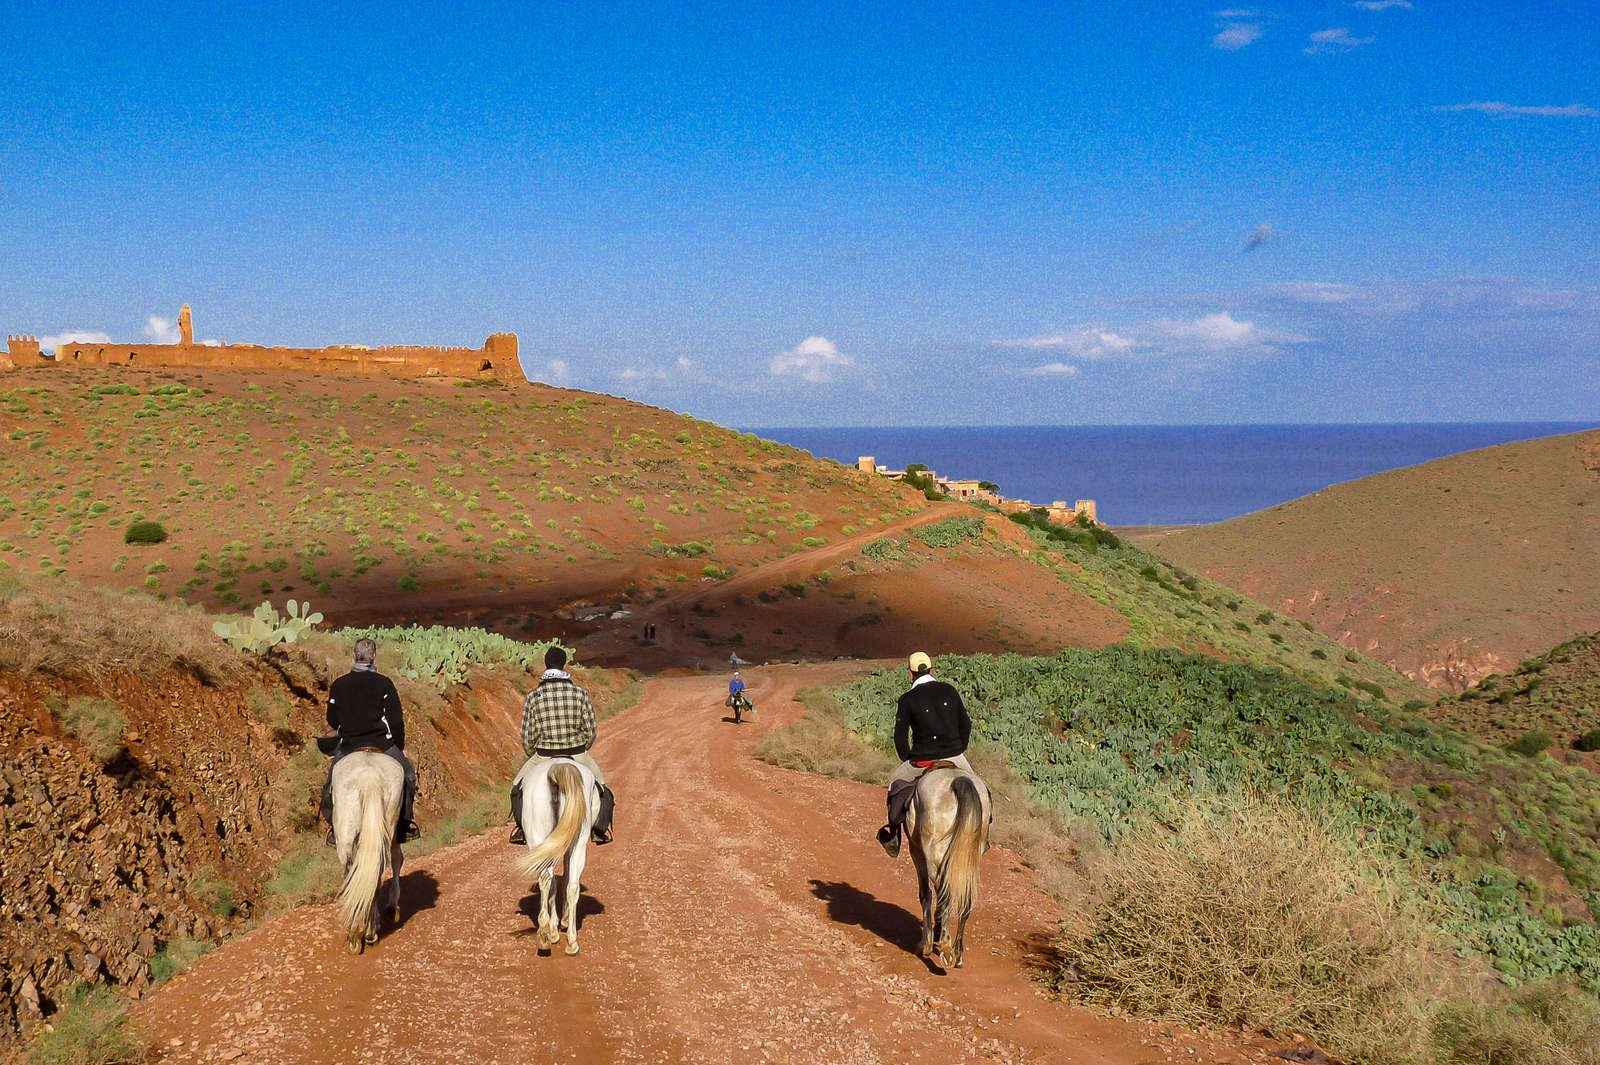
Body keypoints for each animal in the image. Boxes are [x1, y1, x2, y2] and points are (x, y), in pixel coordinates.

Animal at [330, 749, 406, 954]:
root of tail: (369, 776)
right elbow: (397, 860)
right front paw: (392, 907)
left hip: (345, 836)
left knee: (354, 871)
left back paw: (358, 933)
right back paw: (367, 932)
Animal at [514, 758, 598, 956]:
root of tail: (558, 765)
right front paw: (562, 921)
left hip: (540, 838)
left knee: (550, 881)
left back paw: (548, 936)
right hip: (578, 842)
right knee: (567, 884)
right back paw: (566, 940)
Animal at [905, 765, 990, 969]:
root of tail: (958, 780)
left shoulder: (916, 851)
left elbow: (925, 894)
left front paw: (926, 943)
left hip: (934, 855)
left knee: (944, 895)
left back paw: (943, 945)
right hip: (968, 859)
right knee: (965, 900)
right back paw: (957, 953)